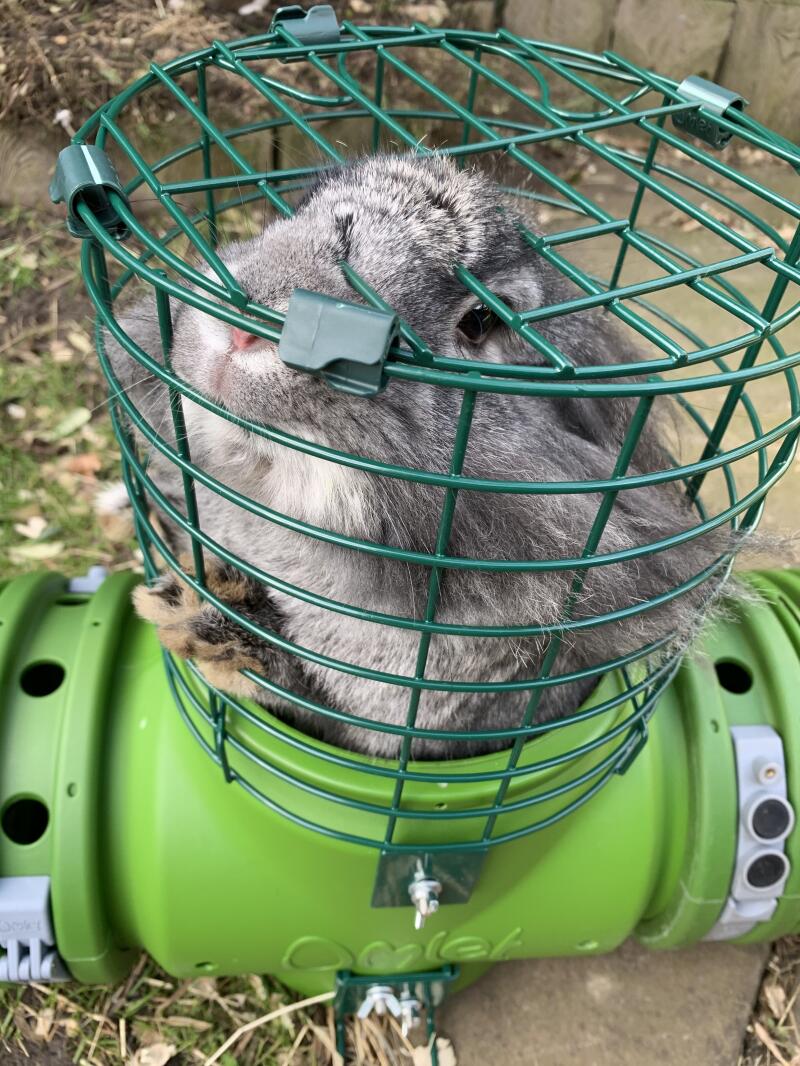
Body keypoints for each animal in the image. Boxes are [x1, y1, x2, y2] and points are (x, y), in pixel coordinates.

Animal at [105, 153, 731, 759]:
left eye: (480, 321)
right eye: (314, 213)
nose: (245, 332)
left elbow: (310, 701)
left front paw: (197, 621)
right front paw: (180, 597)